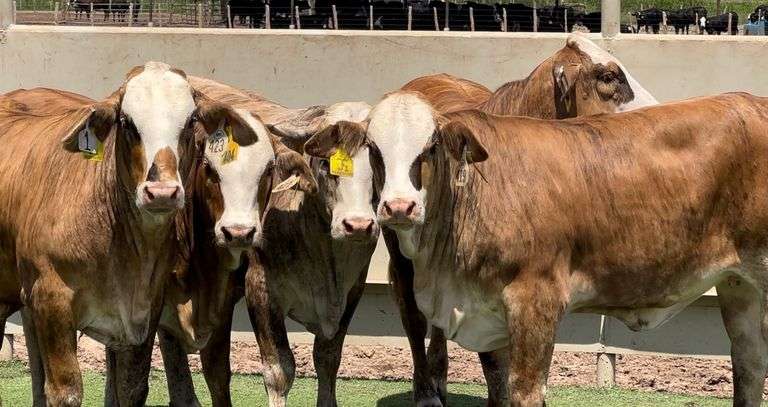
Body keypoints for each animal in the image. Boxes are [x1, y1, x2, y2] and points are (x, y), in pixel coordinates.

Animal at [0, 61, 258, 406]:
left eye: (191, 121)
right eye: (126, 122)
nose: (161, 192)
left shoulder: (145, 313)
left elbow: (132, 387)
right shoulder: (51, 299)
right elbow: (65, 392)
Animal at [311, 89, 768, 406]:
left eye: (431, 147)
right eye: (373, 148)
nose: (399, 206)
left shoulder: (536, 301)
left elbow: (525, 392)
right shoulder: (488, 313)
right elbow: (498, 388)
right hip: (739, 286)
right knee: (749, 365)